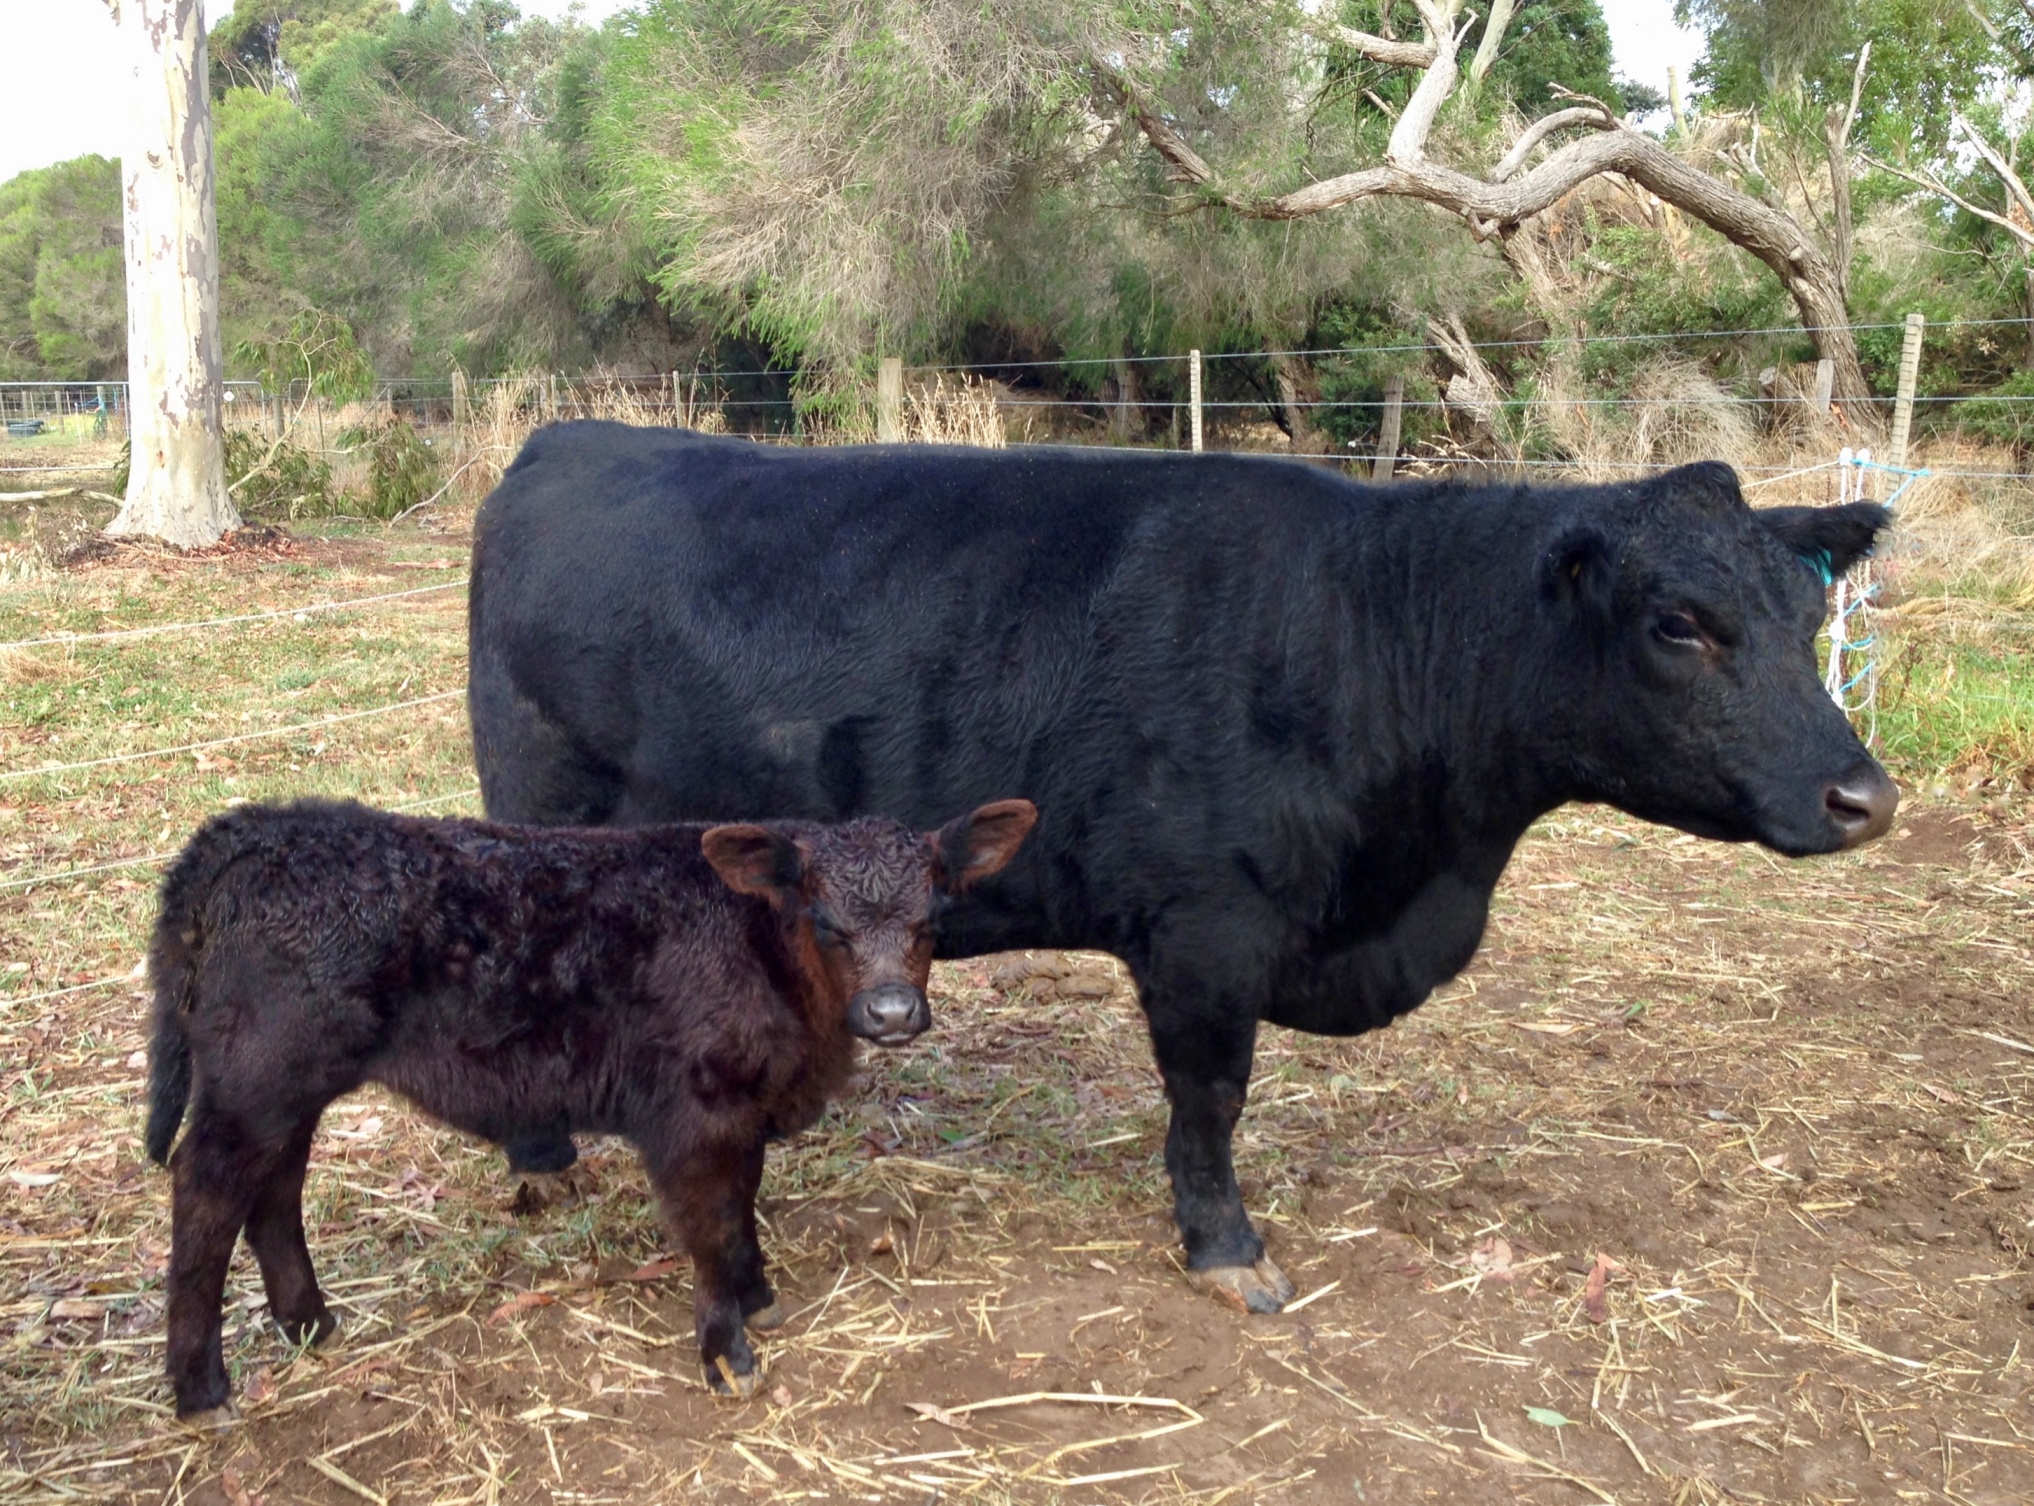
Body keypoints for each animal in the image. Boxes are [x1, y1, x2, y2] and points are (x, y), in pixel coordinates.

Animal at [143, 795, 1037, 1417]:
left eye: (933, 918)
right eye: (826, 922)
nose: (891, 1013)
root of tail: (249, 830)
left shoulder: (740, 1107)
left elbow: (742, 1204)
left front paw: (757, 1297)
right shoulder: (693, 1113)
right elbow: (710, 1222)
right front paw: (726, 1354)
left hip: (284, 1087)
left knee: (275, 1189)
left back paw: (309, 1324)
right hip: (257, 1078)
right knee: (207, 1194)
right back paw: (201, 1389)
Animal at [467, 424, 1897, 1313]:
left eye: (1811, 612)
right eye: (1679, 625)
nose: (1865, 797)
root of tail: (572, 439)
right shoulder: (1208, 928)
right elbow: (1209, 1103)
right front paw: (1227, 1252)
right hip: (536, 806)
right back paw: (543, 1160)